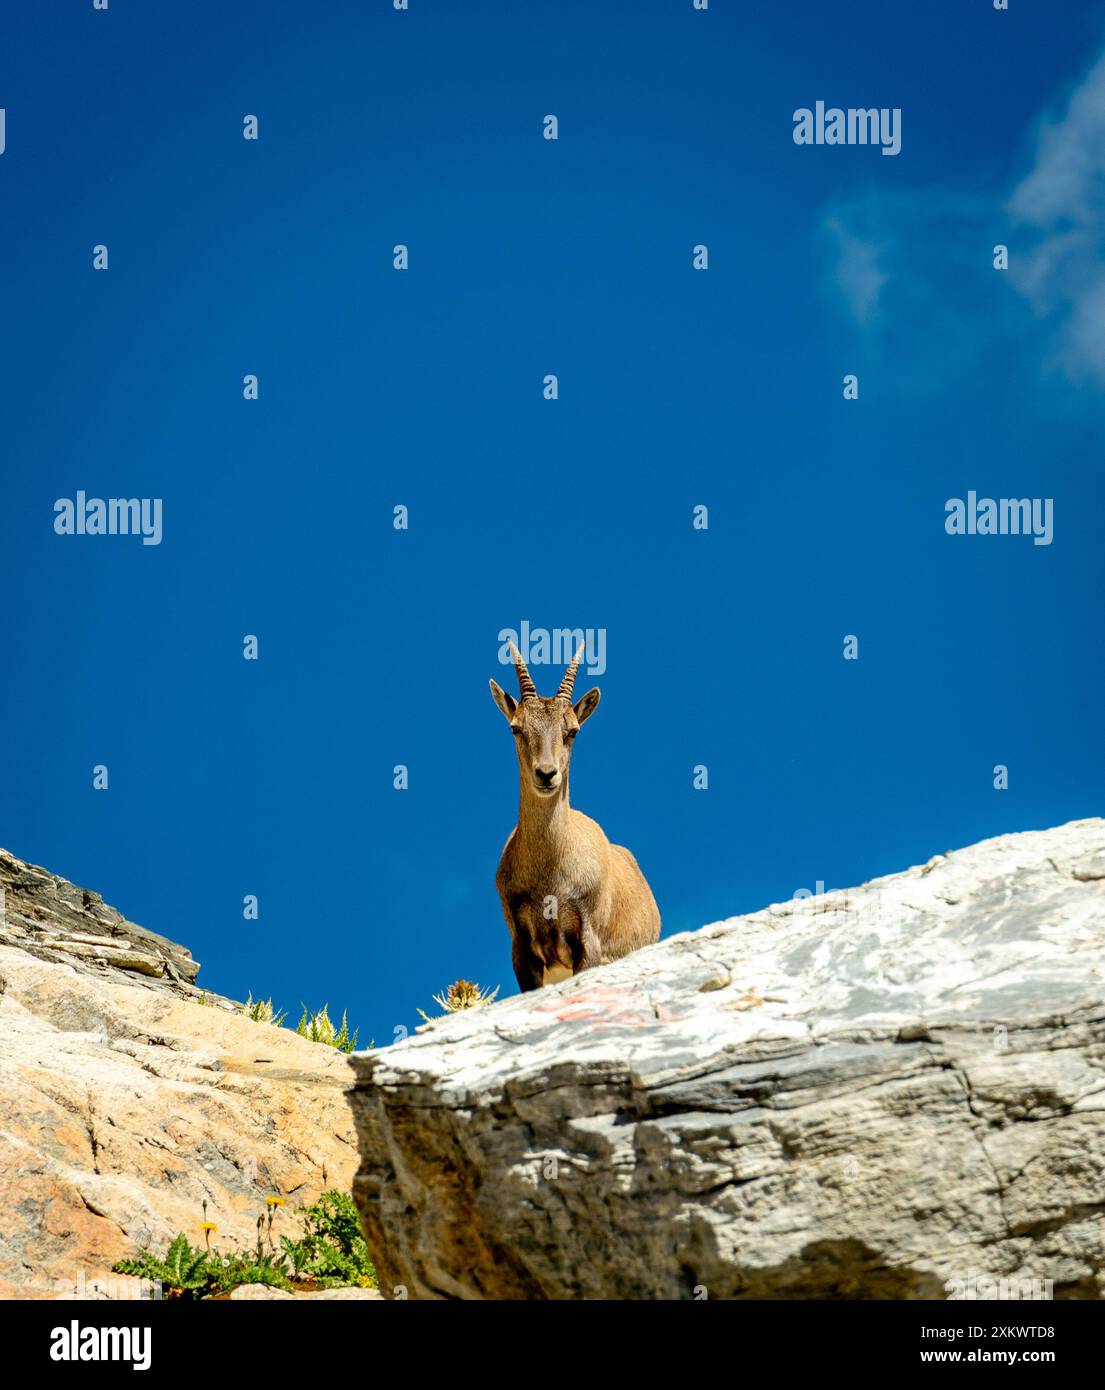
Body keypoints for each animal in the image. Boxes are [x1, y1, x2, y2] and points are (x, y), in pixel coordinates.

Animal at [489, 643, 660, 990]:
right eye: (516, 728)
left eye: (572, 732)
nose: (546, 774)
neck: (549, 873)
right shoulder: (521, 948)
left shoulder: (587, 940)